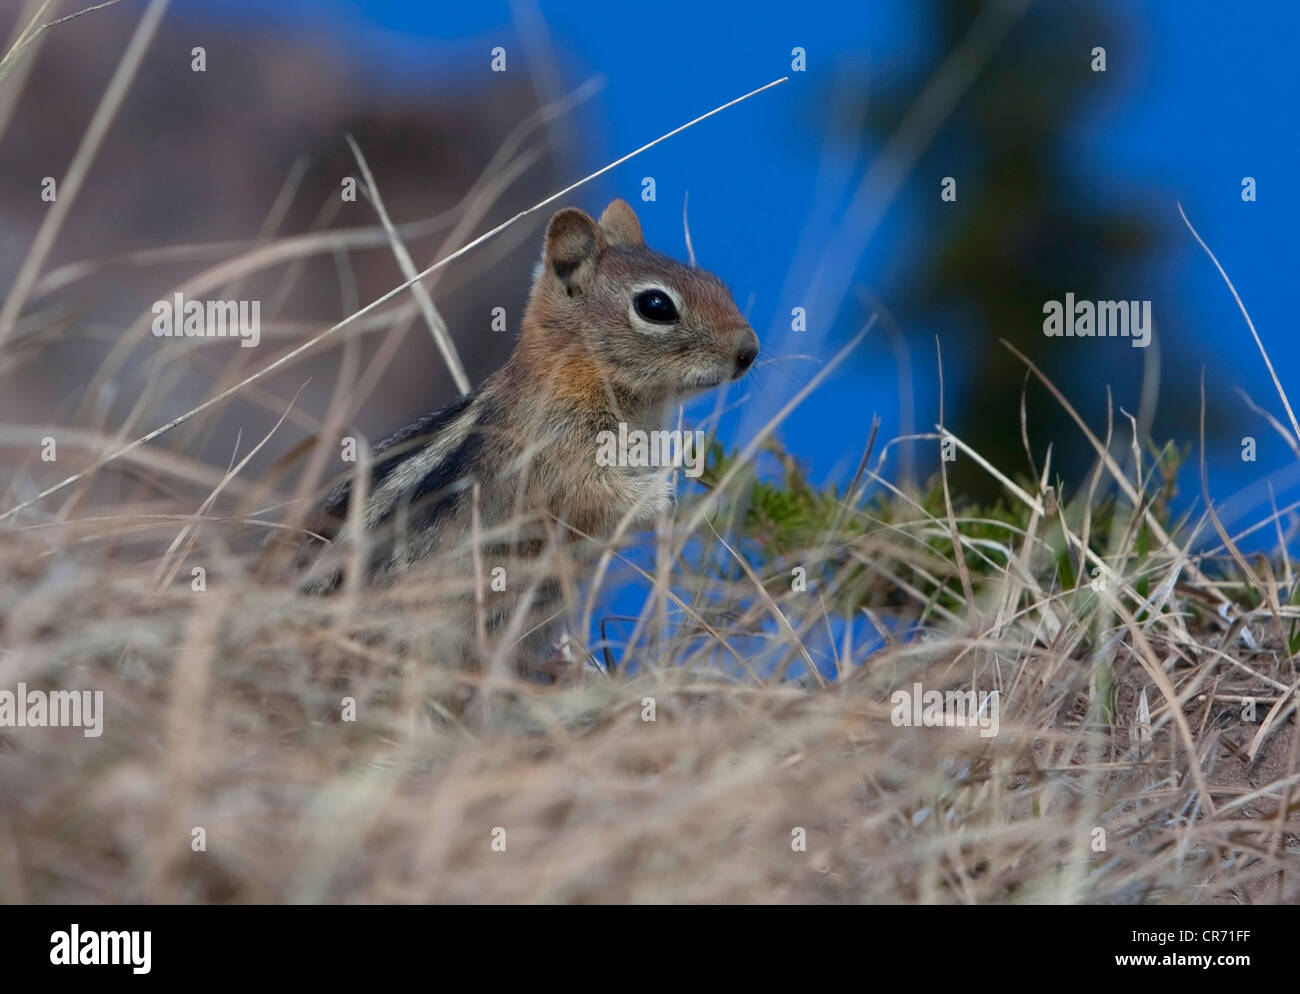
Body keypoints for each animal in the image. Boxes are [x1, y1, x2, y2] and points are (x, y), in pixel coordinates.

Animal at [302, 198, 758, 668]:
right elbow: (591, 500)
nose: (749, 351)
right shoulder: (557, 457)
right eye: (656, 305)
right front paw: (661, 496)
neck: (579, 372)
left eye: (717, 284)